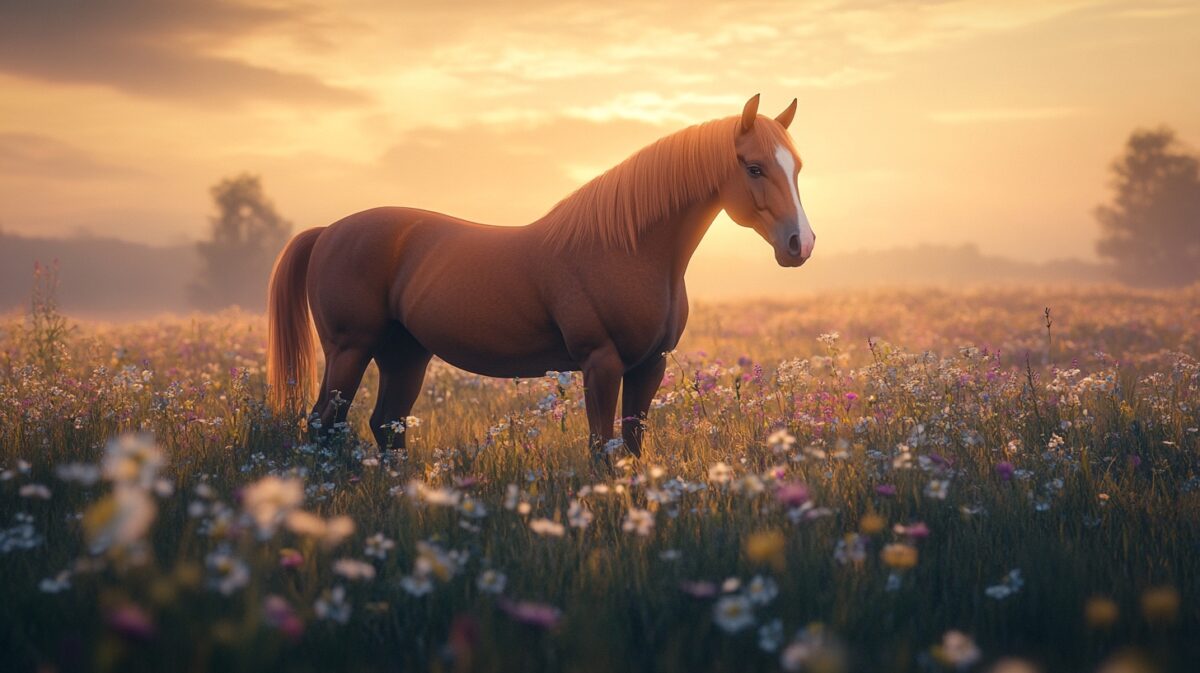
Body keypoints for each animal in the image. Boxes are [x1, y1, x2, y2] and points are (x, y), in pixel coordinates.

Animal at [266, 94, 815, 461]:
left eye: (797, 167)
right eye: (753, 167)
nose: (800, 244)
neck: (629, 248)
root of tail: (329, 231)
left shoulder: (648, 366)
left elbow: (633, 448)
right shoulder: (601, 363)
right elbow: (601, 450)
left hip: (404, 355)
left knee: (386, 427)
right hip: (350, 349)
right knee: (323, 425)